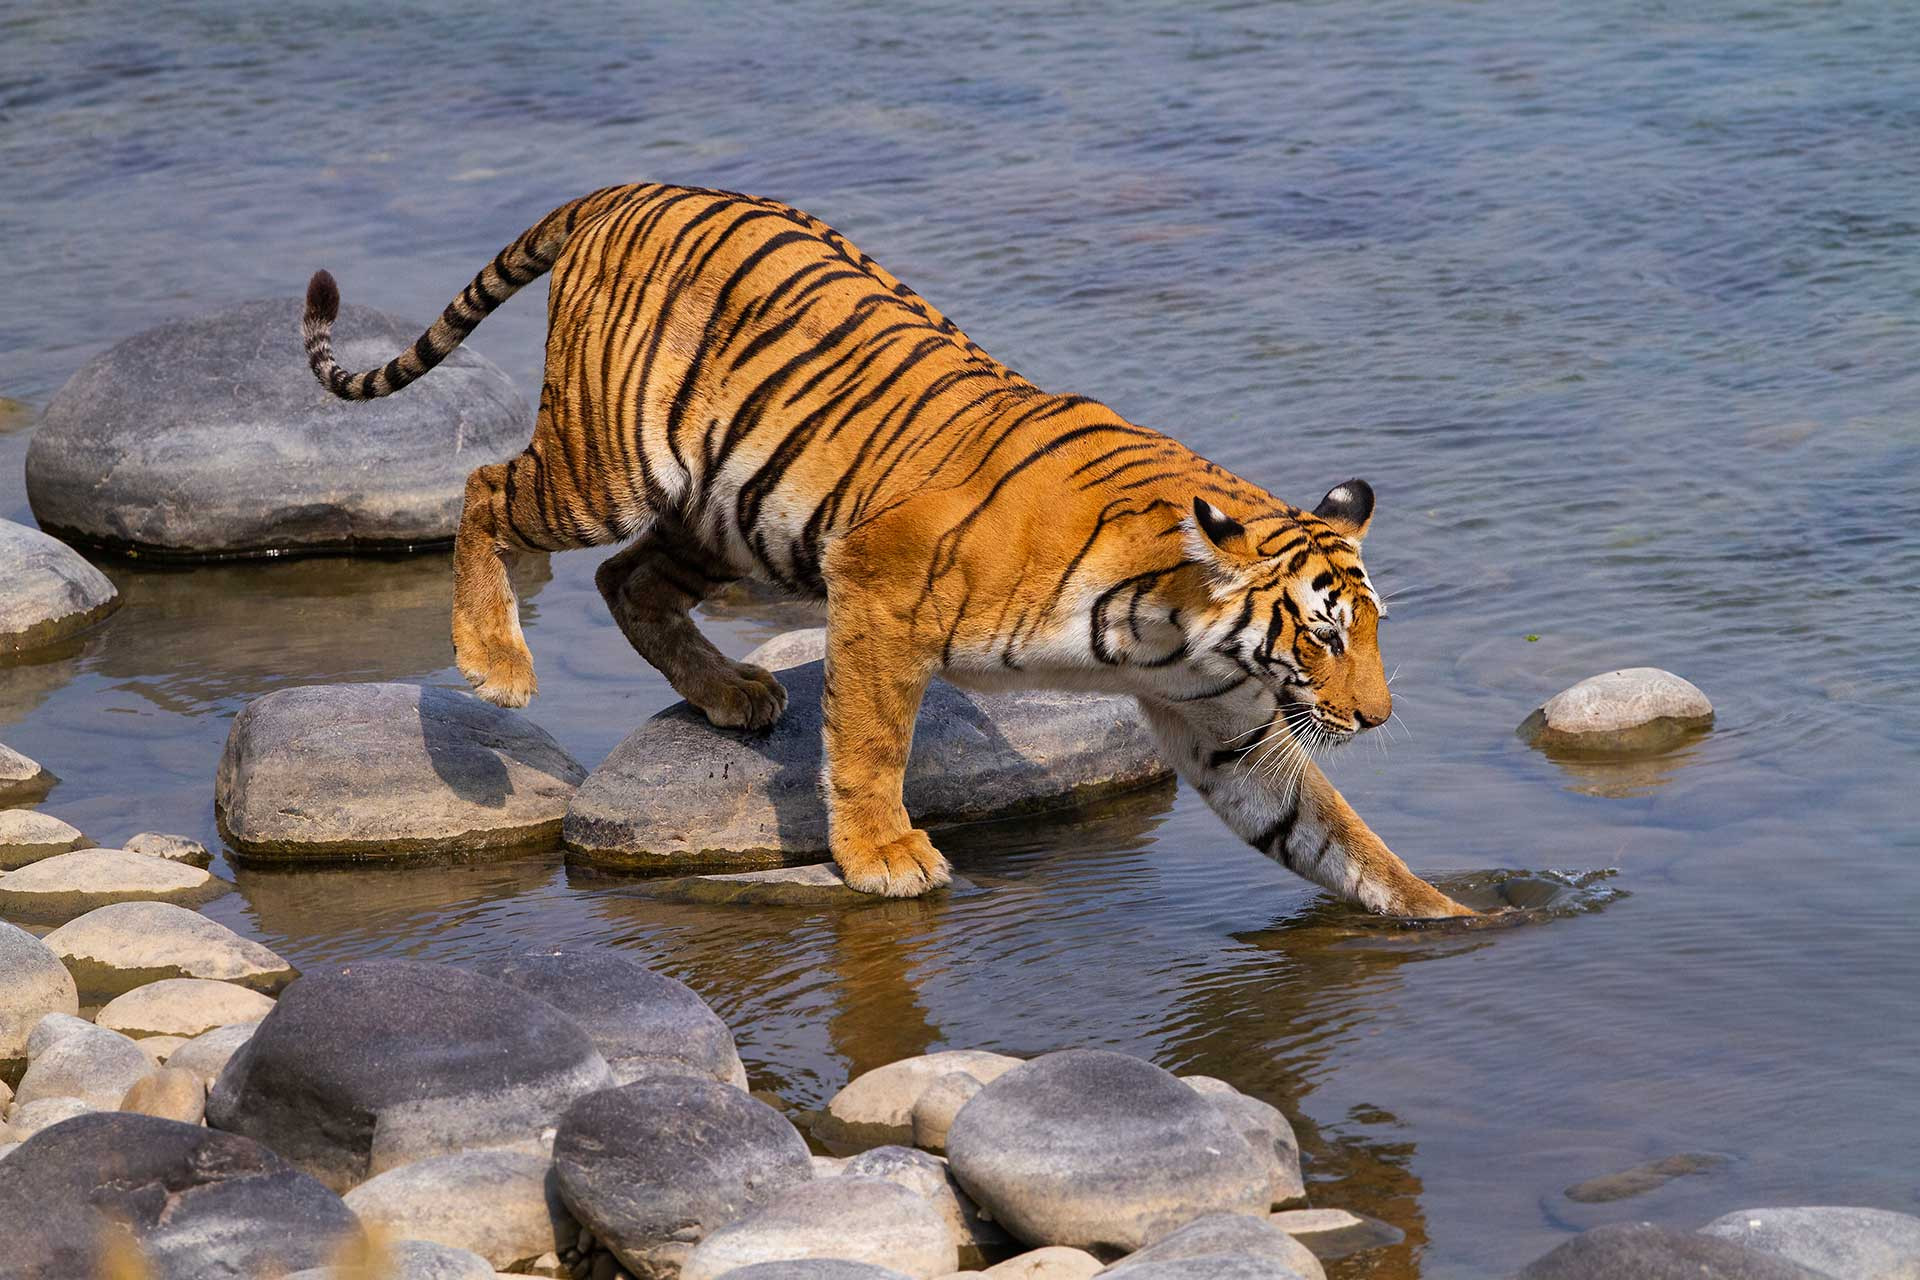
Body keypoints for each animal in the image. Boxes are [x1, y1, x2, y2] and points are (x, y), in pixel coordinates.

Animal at [302, 183, 1474, 917]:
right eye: (1321, 636)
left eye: (1369, 632)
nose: (1375, 717)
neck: (1175, 625)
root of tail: (623, 191)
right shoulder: (879, 584)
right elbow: (868, 740)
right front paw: (883, 858)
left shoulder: (1221, 719)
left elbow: (1332, 836)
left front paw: (1450, 916)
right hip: (606, 467)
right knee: (488, 491)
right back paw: (493, 660)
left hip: (733, 513)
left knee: (624, 576)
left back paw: (733, 693)